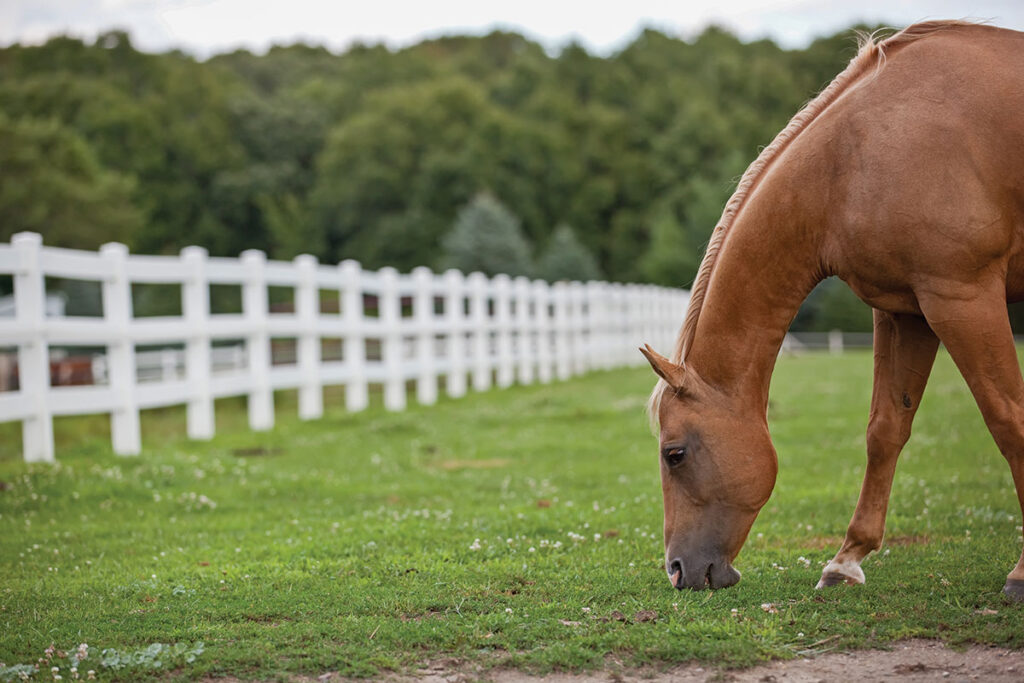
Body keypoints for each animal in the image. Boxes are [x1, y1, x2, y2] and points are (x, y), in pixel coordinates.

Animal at [641, 20, 1024, 601]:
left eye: (675, 454)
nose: (678, 570)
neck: (852, 159)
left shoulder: (962, 296)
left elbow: (1009, 421)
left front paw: (1022, 573)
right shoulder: (906, 311)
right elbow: (885, 430)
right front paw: (846, 561)